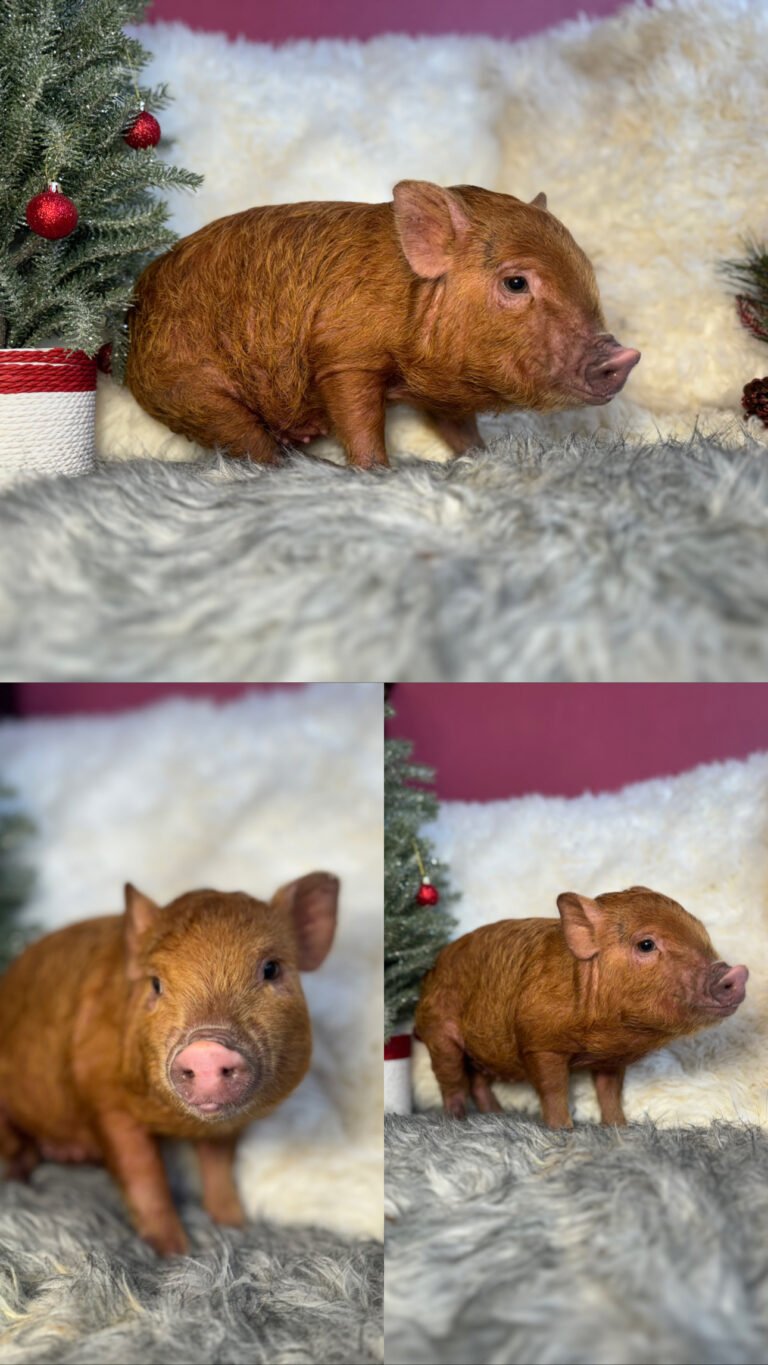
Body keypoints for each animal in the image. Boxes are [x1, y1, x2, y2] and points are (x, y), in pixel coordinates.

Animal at [0, 873, 338, 1256]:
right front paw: (175, 1252)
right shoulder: (104, 1097)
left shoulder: (223, 1128)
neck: (180, 1124)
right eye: (156, 983)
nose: (207, 1050)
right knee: (16, 1148)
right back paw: (22, 1180)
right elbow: (144, 1174)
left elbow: (218, 1168)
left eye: (271, 969)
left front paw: (234, 1227)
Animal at [125, 181, 640, 468]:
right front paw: (375, 471)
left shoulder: (445, 390)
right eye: (516, 282)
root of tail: (135, 308)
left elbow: (459, 428)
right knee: (247, 441)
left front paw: (481, 456)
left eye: (587, 274)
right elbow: (361, 422)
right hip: (188, 389)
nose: (625, 355)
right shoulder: (344, 358)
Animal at [415, 886, 748, 1128]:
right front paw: (563, 1129)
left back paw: (495, 1114)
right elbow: (553, 1089)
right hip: (438, 1032)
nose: (736, 972)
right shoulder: (538, 1045)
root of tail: (431, 973)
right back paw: (457, 1119)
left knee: (478, 1081)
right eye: (646, 944)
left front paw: (619, 1127)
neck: (598, 1035)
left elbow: (609, 1091)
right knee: (451, 1079)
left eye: (703, 935)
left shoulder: (611, 1058)